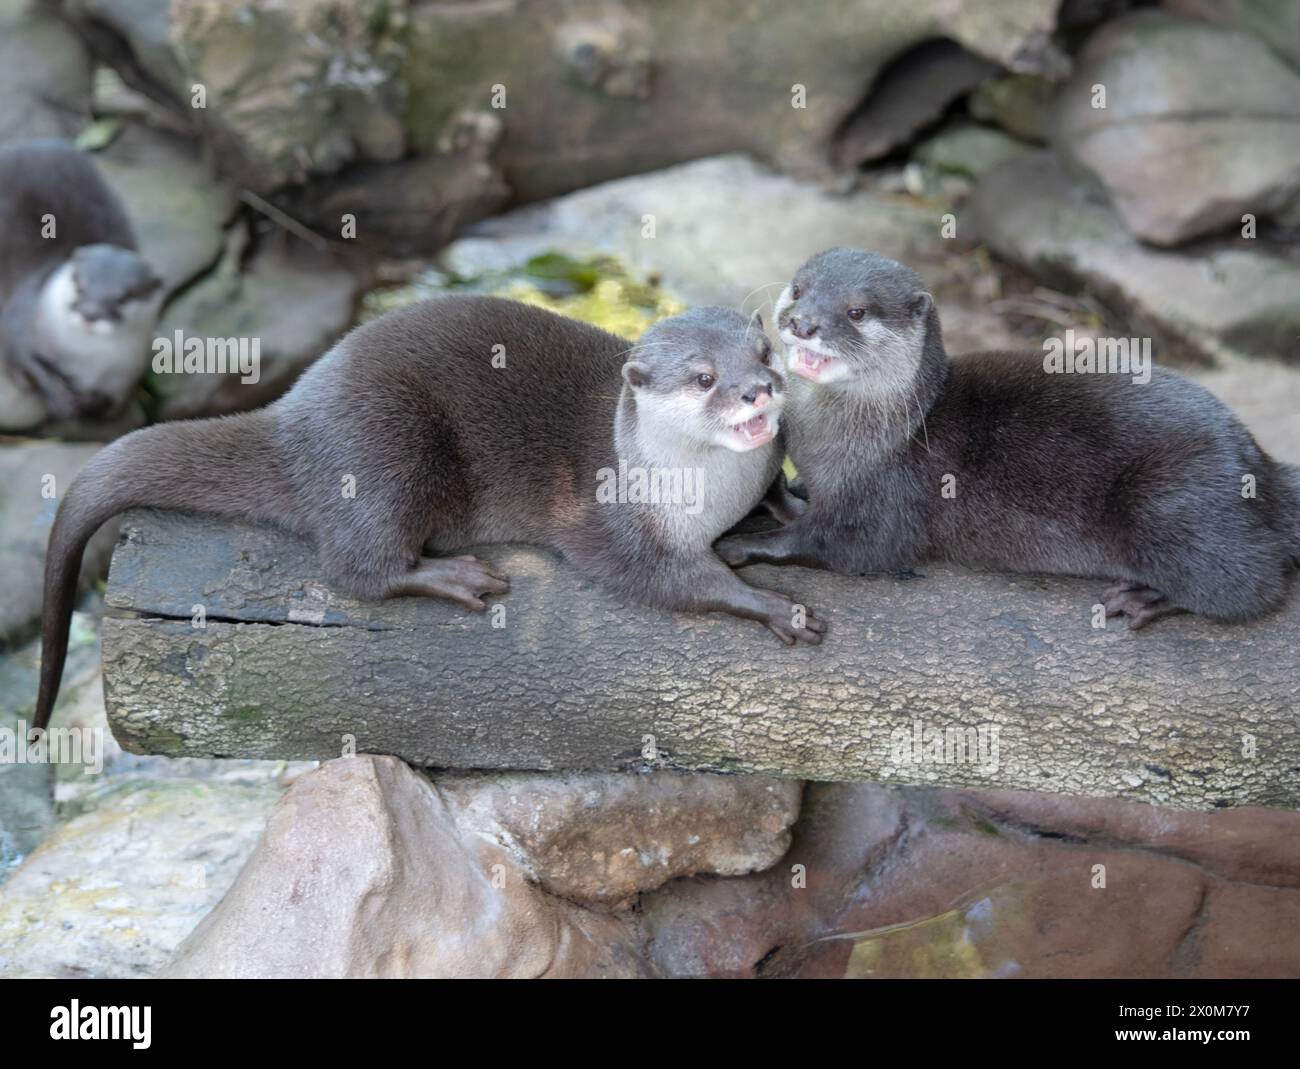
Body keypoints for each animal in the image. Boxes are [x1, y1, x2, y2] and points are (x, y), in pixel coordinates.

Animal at [0, 140, 162, 422]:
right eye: (80, 284)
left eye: (122, 297)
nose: (89, 314)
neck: (85, 362)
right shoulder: (20, 323)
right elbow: (24, 361)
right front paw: (57, 393)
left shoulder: (122, 380)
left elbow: (106, 404)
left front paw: (86, 402)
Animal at [33, 296, 824, 731]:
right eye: (704, 378)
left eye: (765, 352)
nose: (757, 390)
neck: (707, 494)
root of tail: (294, 421)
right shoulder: (615, 521)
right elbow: (670, 580)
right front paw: (772, 605)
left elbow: (772, 497)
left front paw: (790, 508)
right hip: (387, 446)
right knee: (354, 567)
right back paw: (456, 577)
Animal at [716, 247, 1300, 628]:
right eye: (799, 290)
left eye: (856, 311)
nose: (802, 322)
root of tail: (1260, 466)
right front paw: (785, 497)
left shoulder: (893, 494)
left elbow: (841, 543)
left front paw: (741, 545)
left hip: (1172, 502)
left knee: (1253, 585)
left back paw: (1143, 600)